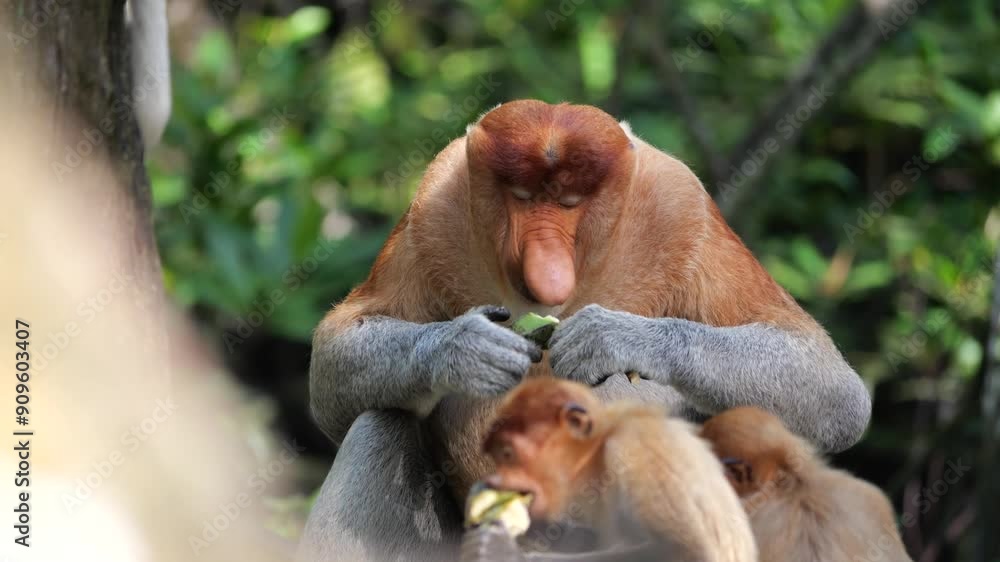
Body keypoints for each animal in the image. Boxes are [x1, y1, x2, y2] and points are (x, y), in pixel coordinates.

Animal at [479, 378, 758, 562]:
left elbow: (687, 551)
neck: (599, 447)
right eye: (498, 456)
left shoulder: (633, 447)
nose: (496, 479)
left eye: (507, 454)